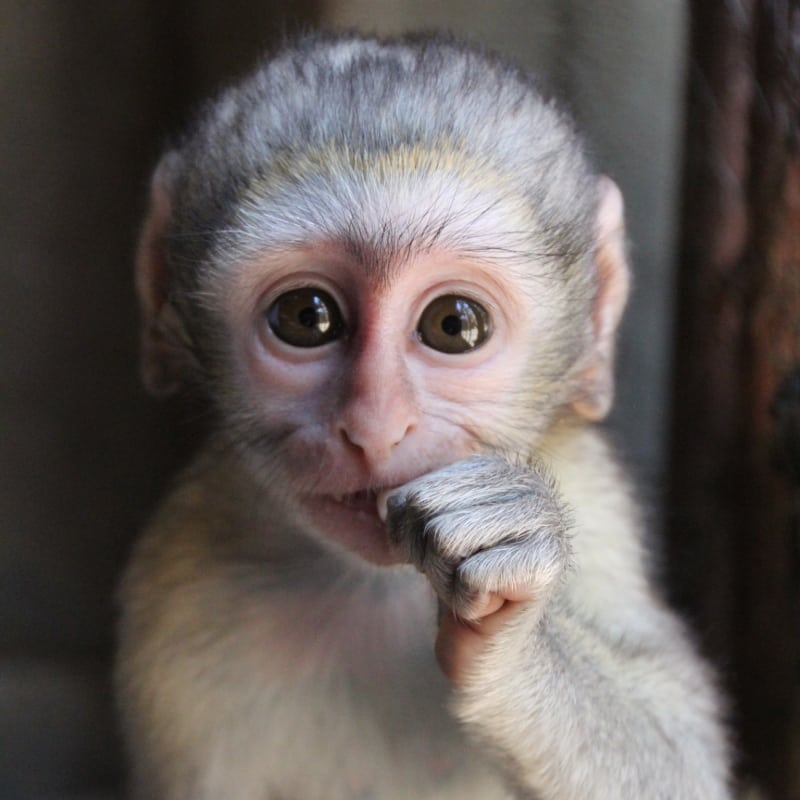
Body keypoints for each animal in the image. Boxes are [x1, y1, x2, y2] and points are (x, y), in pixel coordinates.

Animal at [116, 31, 732, 800]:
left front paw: (514, 642)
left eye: (454, 325)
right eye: (307, 317)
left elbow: (687, 761)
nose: (375, 426)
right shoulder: (174, 587)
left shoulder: (593, 495)